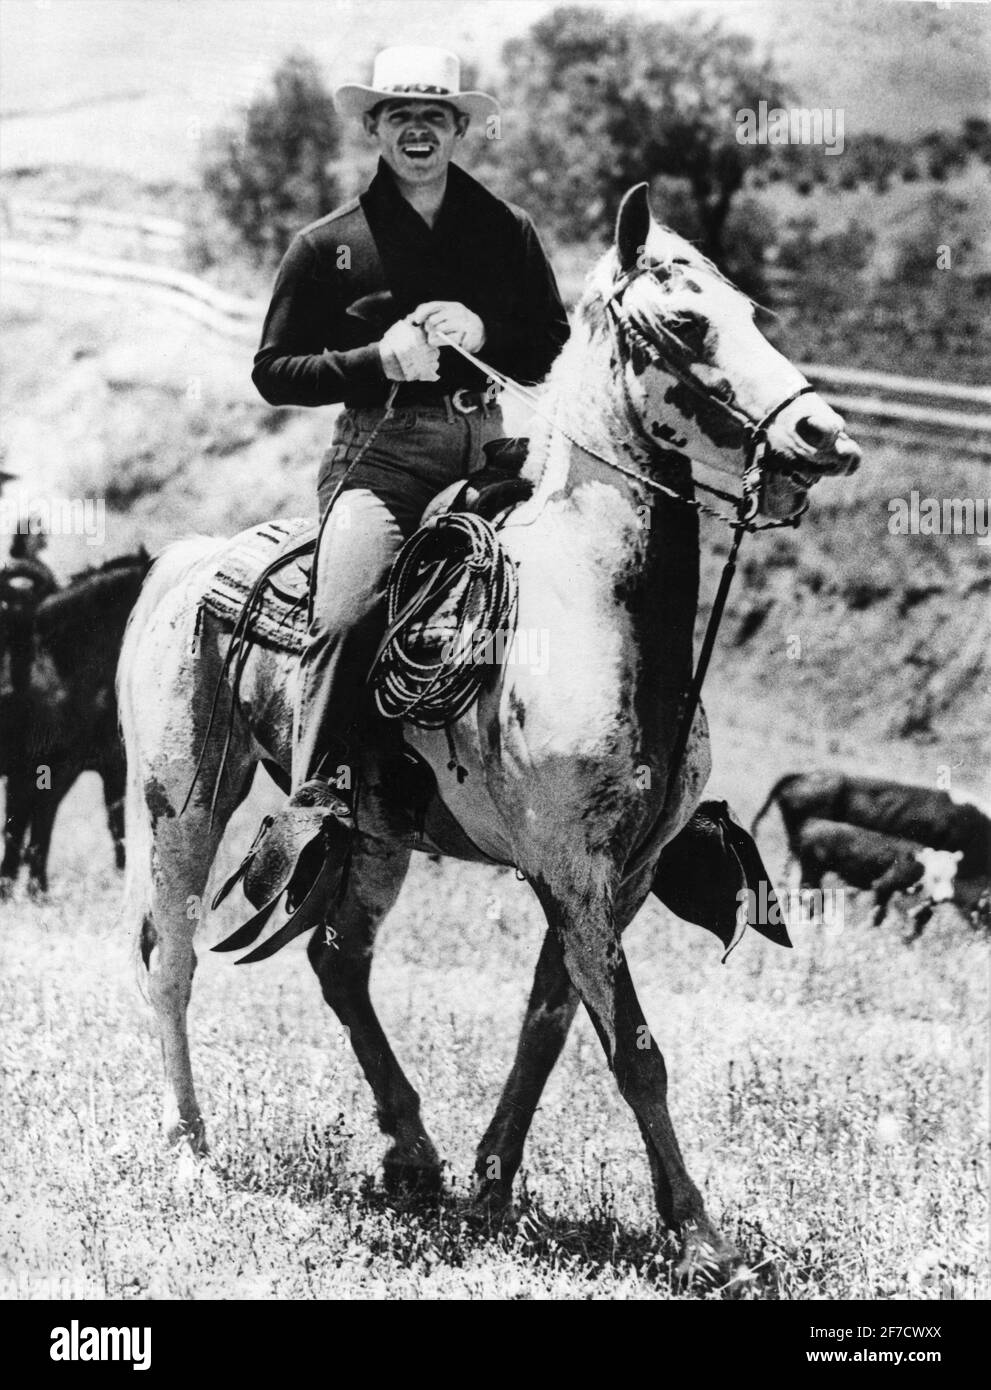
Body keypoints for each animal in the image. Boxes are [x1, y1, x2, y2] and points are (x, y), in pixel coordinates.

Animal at [118, 185, 861, 1282]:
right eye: (688, 324)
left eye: (756, 314)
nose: (824, 436)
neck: (586, 607)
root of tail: (187, 562)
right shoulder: (571, 866)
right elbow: (637, 1049)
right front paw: (698, 1236)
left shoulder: (615, 873)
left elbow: (551, 1025)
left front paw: (495, 1184)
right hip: (183, 798)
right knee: (171, 960)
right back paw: (192, 1156)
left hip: (371, 835)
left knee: (337, 963)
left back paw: (411, 1154)